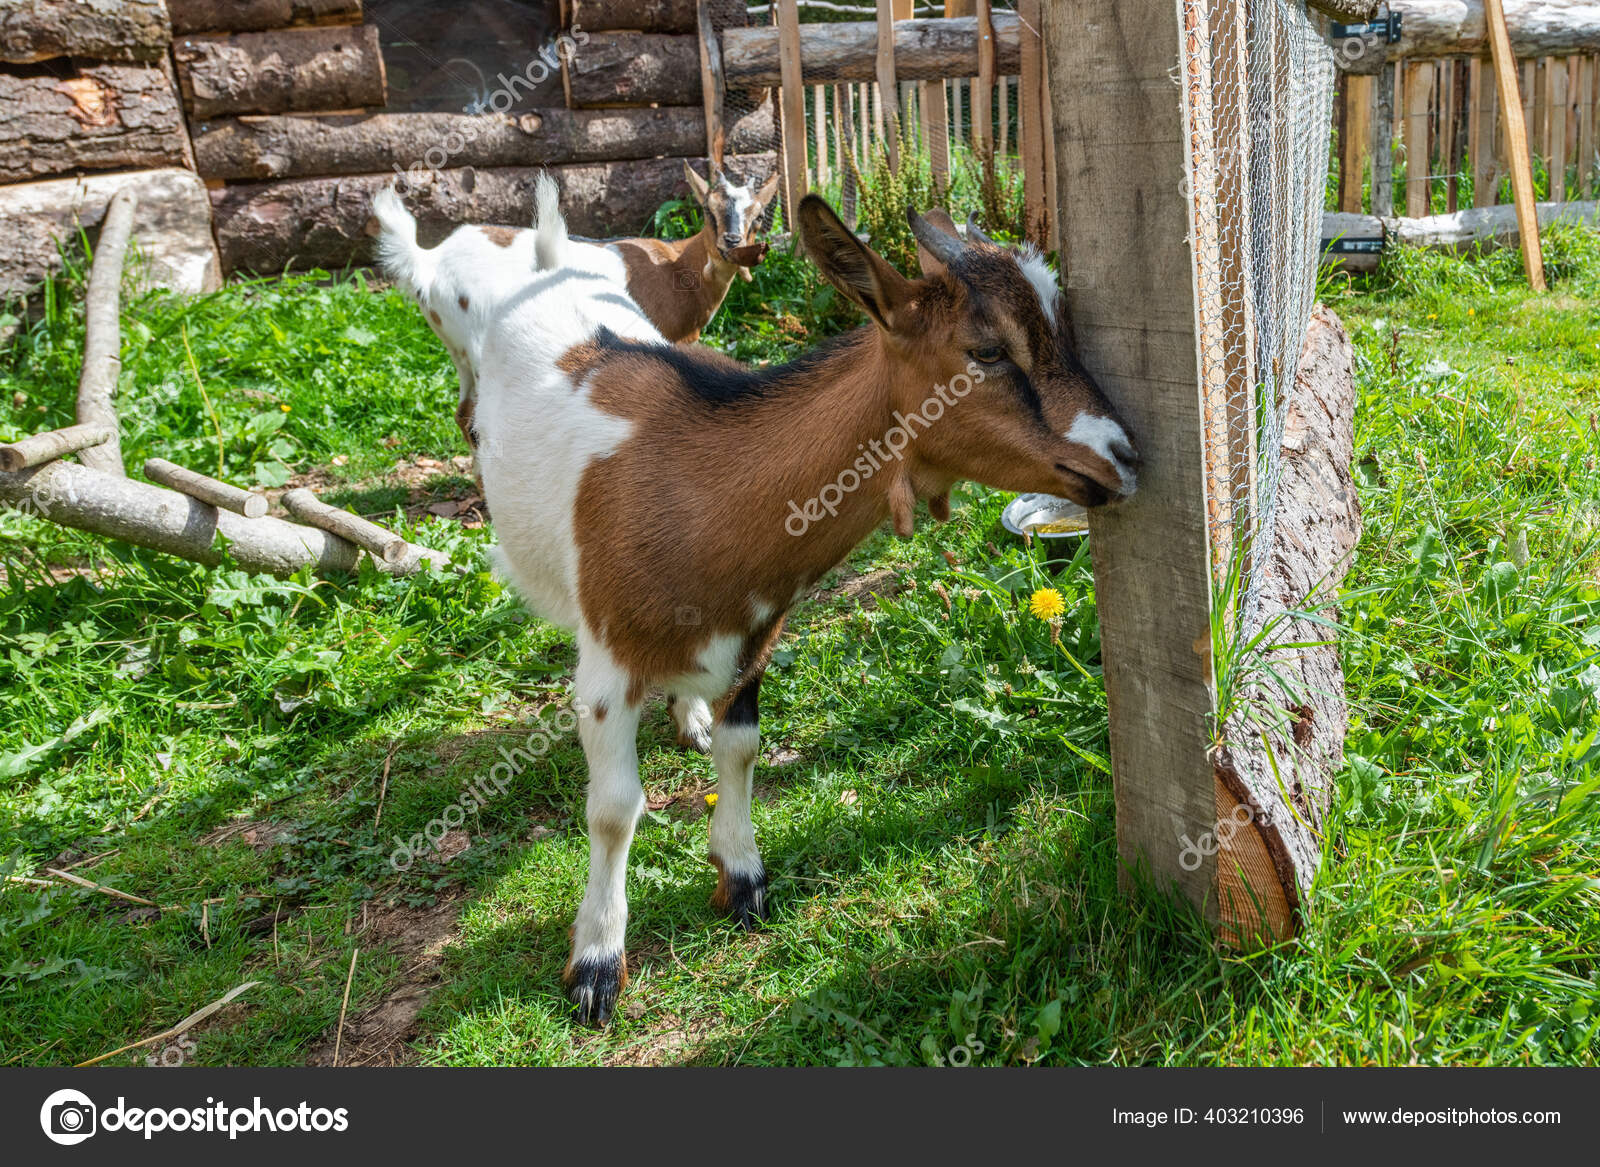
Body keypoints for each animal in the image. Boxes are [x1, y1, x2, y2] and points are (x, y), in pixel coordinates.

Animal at [468, 192, 1139, 1025]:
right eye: (986, 350)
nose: (1126, 456)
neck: (691, 482)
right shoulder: (609, 662)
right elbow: (616, 806)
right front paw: (596, 963)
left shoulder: (757, 632)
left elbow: (742, 749)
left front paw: (742, 877)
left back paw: (688, 716)